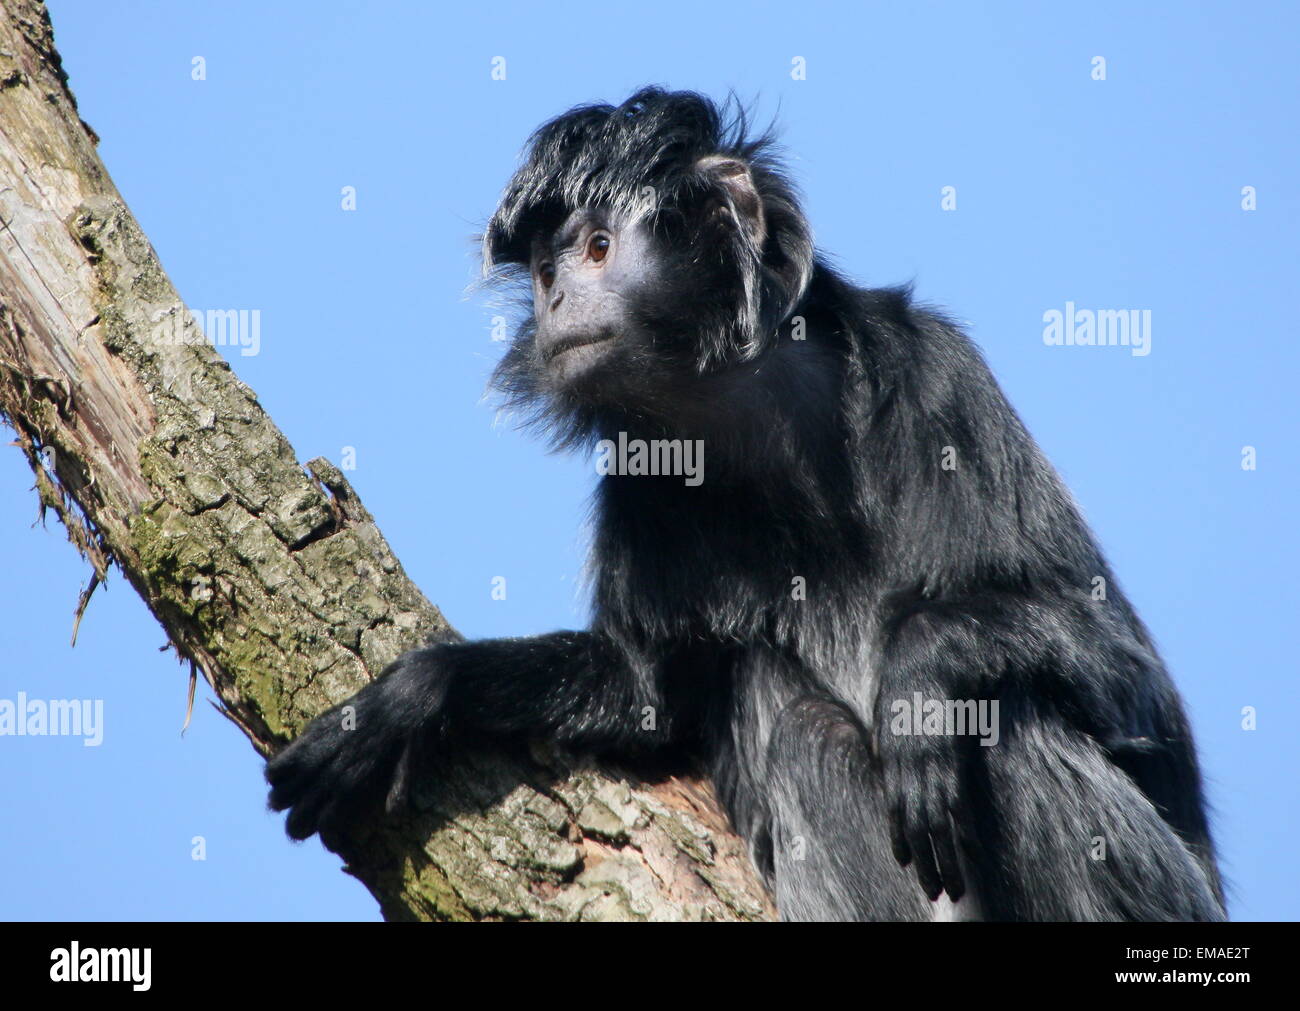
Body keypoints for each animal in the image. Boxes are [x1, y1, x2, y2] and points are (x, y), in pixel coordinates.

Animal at [266, 87, 1225, 922]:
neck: (762, 433)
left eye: (599, 248)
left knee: (1005, 721)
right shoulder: (639, 487)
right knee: (792, 719)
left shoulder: (937, 375)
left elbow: (1133, 683)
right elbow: (642, 700)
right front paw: (423, 688)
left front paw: (920, 671)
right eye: (542, 268)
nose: (554, 296)